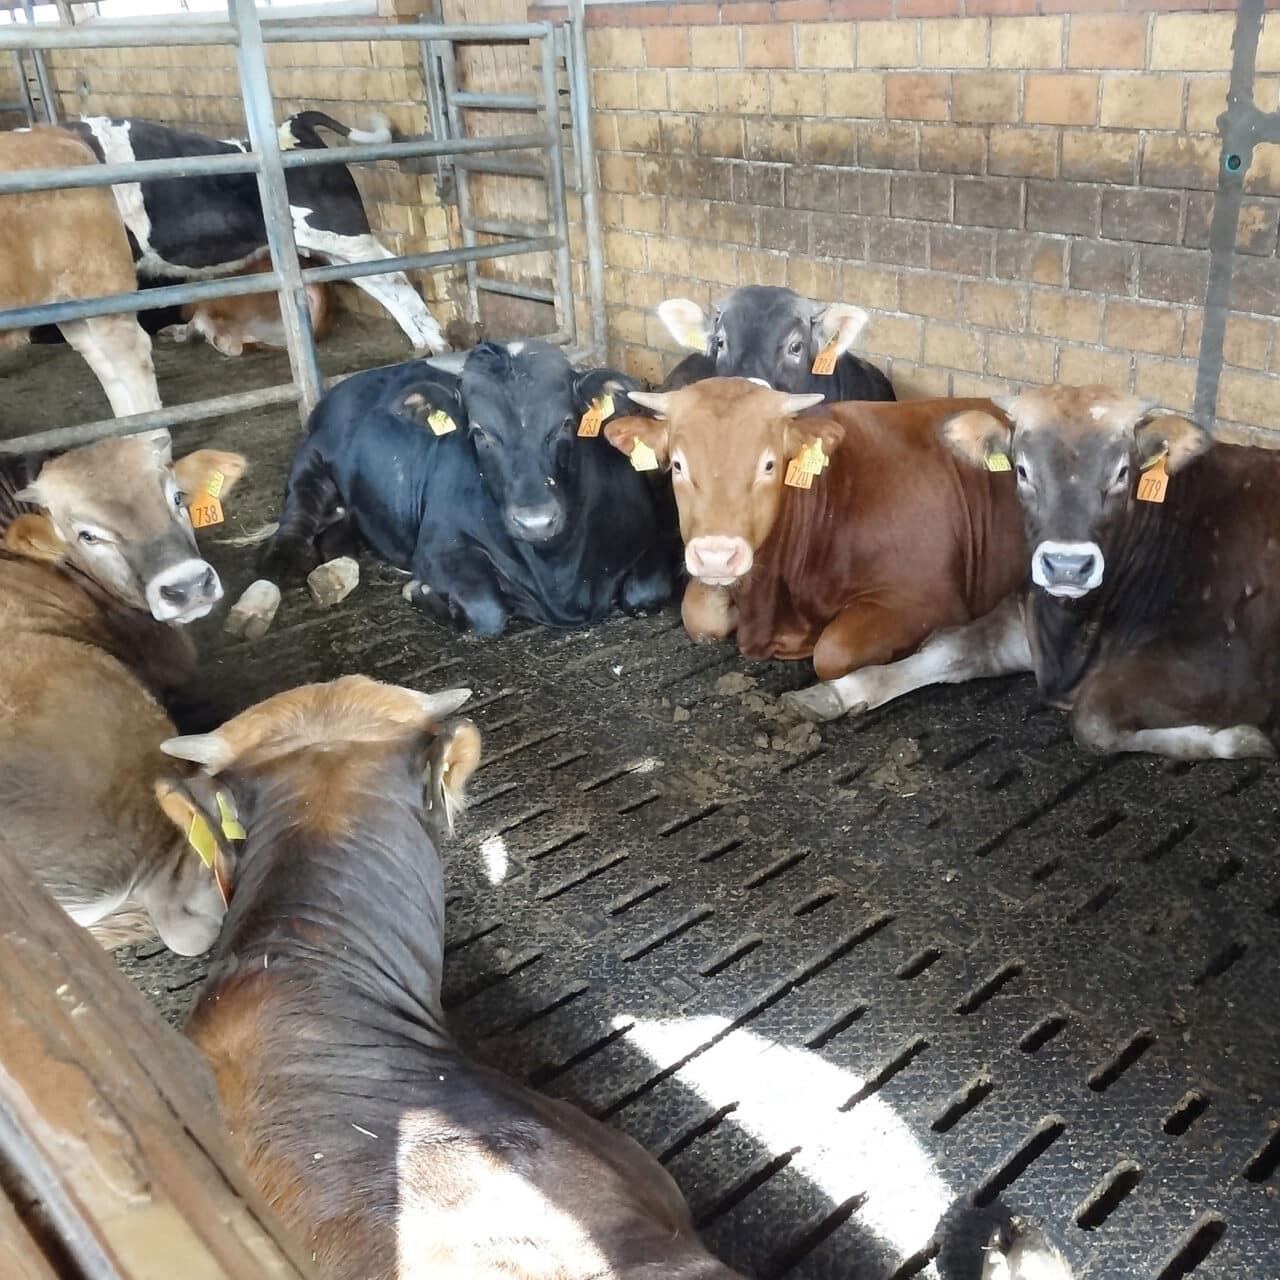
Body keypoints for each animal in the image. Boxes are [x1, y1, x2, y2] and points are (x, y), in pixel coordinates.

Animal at [256, 340, 677, 636]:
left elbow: (646, 591)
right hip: (309, 459)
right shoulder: (438, 548)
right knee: (296, 513)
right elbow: (487, 611)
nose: (535, 522)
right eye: (479, 432)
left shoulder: (652, 532)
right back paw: (281, 565)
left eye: (564, 424)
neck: (559, 570)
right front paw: (420, 592)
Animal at [601, 378, 1026, 718]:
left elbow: (831, 652)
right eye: (677, 465)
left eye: (769, 465)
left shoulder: (929, 601)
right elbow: (699, 617)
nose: (717, 556)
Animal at [815, 385, 1280, 760]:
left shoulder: (1225, 667)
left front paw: (1238, 738)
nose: (1068, 566)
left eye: (1122, 472)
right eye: (1022, 469)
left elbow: (1092, 720)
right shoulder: (1028, 619)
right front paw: (835, 693)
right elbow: (950, 646)